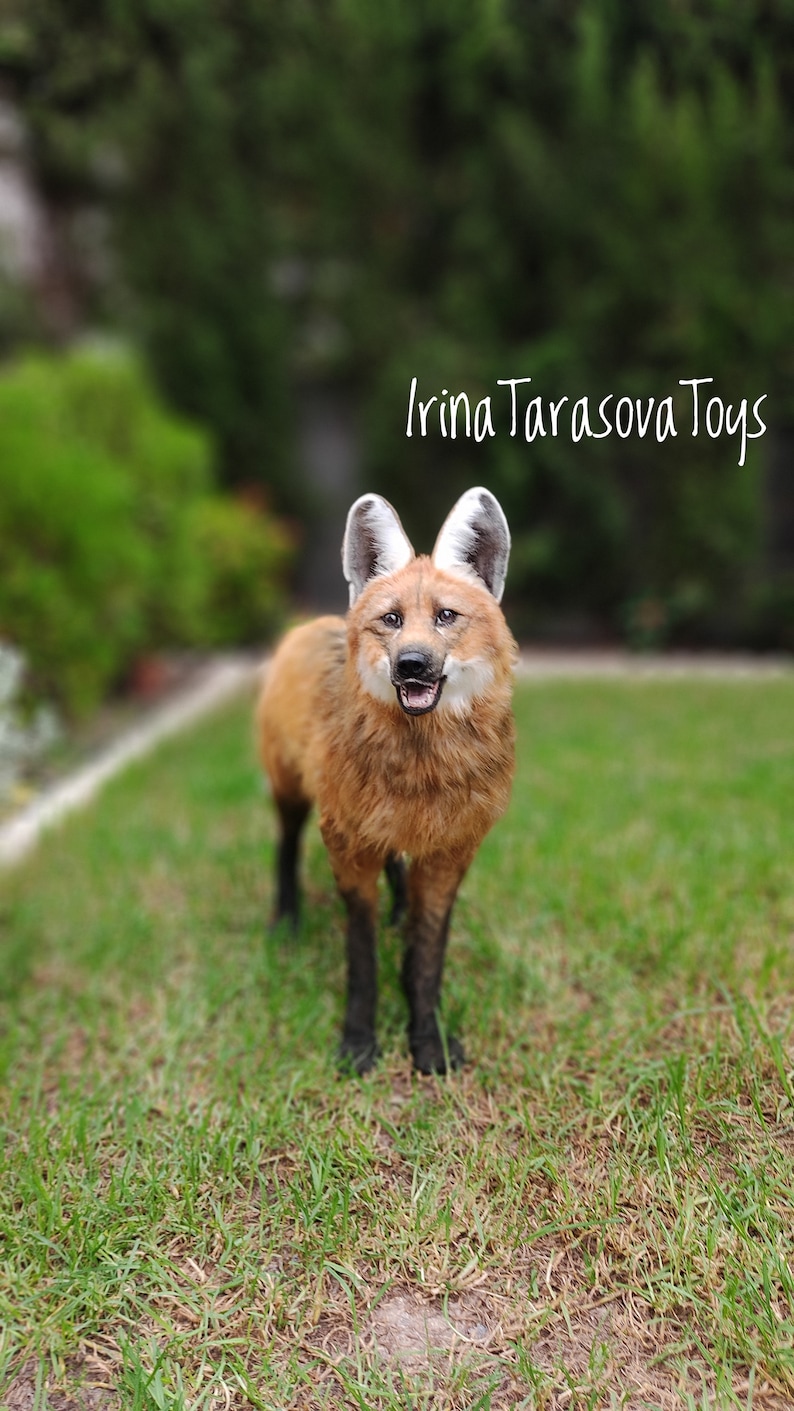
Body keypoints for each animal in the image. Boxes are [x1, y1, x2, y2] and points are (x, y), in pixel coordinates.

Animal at [256, 487, 516, 1074]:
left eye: (446, 616)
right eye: (392, 620)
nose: (412, 665)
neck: (419, 775)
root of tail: (312, 623)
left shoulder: (449, 851)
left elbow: (425, 960)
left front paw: (427, 1038)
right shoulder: (348, 846)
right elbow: (363, 958)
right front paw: (358, 1041)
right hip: (292, 795)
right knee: (285, 848)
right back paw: (287, 919)